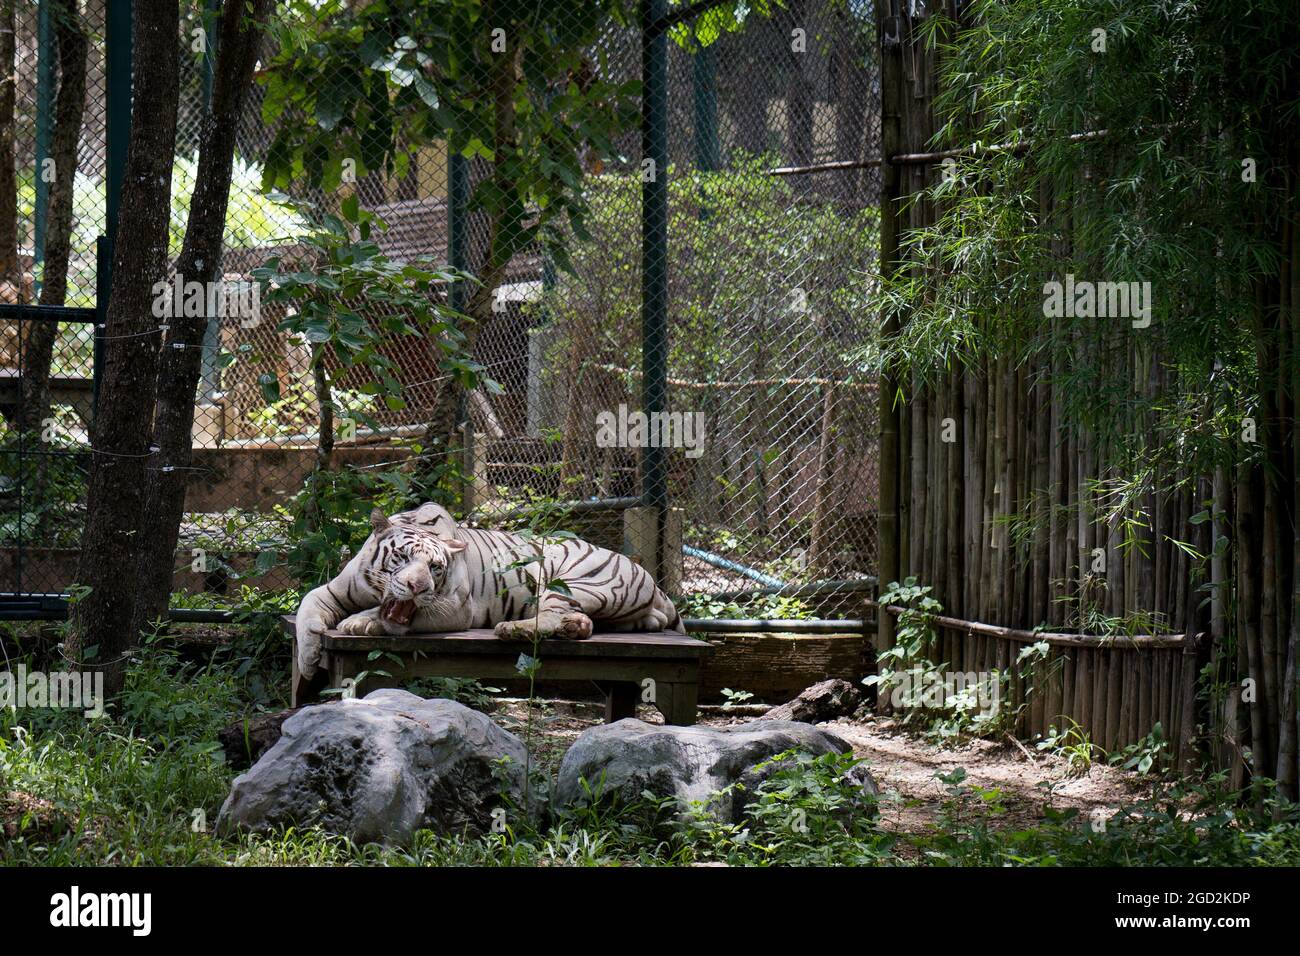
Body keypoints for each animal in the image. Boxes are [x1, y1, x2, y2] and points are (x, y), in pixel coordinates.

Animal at [293, 502, 684, 680]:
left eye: (435, 568)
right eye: (402, 557)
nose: (418, 587)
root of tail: (649, 575)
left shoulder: (452, 608)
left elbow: (393, 619)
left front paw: (360, 622)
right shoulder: (334, 589)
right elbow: (306, 608)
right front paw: (309, 660)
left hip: (575, 582)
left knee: (549, 617)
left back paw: (514, 629)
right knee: (580, 622)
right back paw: (574, 627)